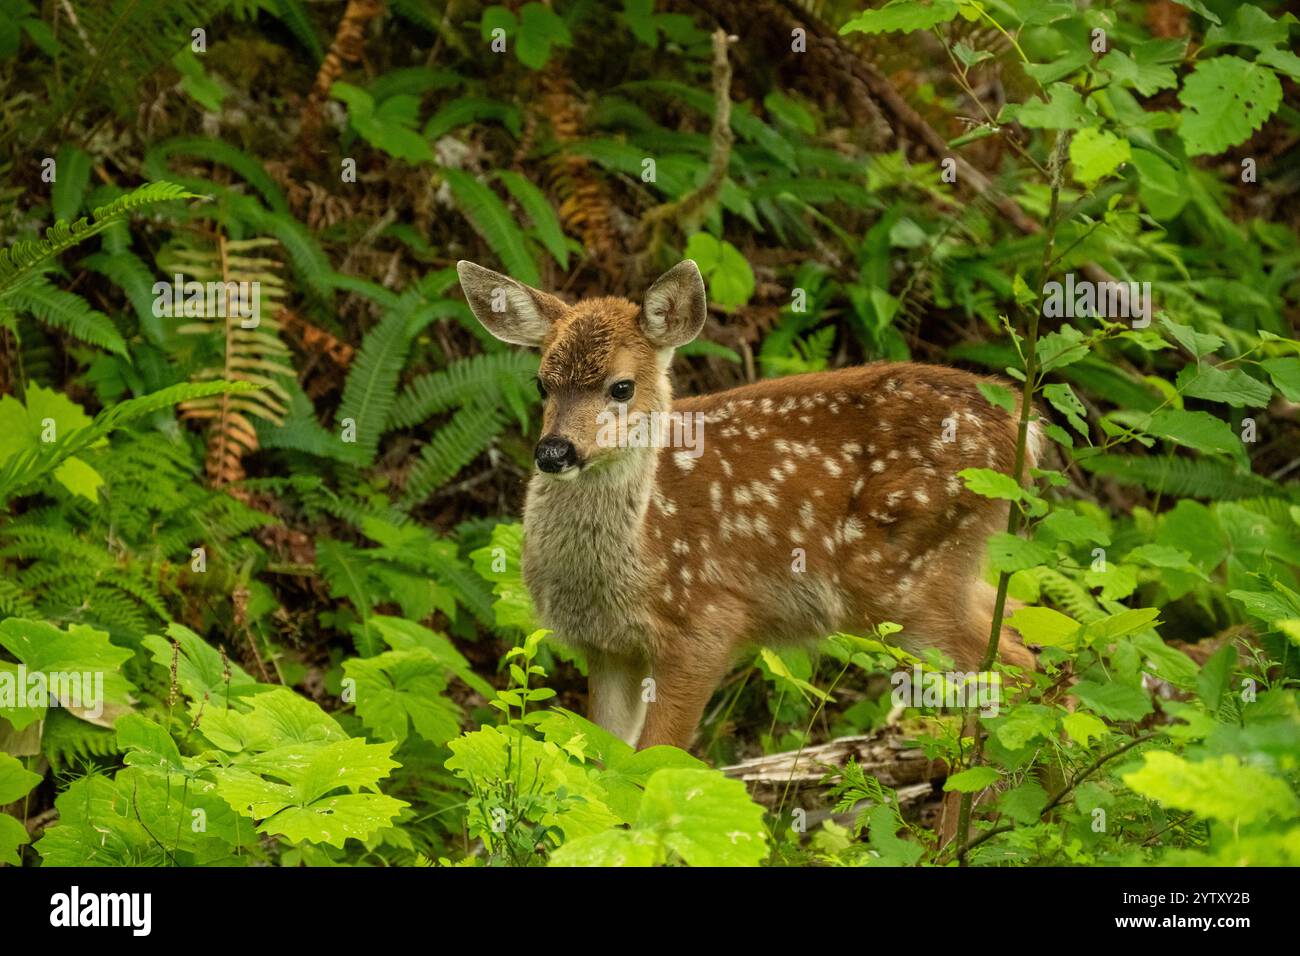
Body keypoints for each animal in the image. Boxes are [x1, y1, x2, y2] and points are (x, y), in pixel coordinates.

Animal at [457, 259, 1040, 752]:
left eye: (621, 387)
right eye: (541, 383)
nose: (554, 451)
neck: (639, 557)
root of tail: (1023, 423)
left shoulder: (708, 625)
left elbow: (657, 760)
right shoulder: (607, 649)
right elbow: (607, 763)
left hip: (911, 580)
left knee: (1010, 672)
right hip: (956, 572)